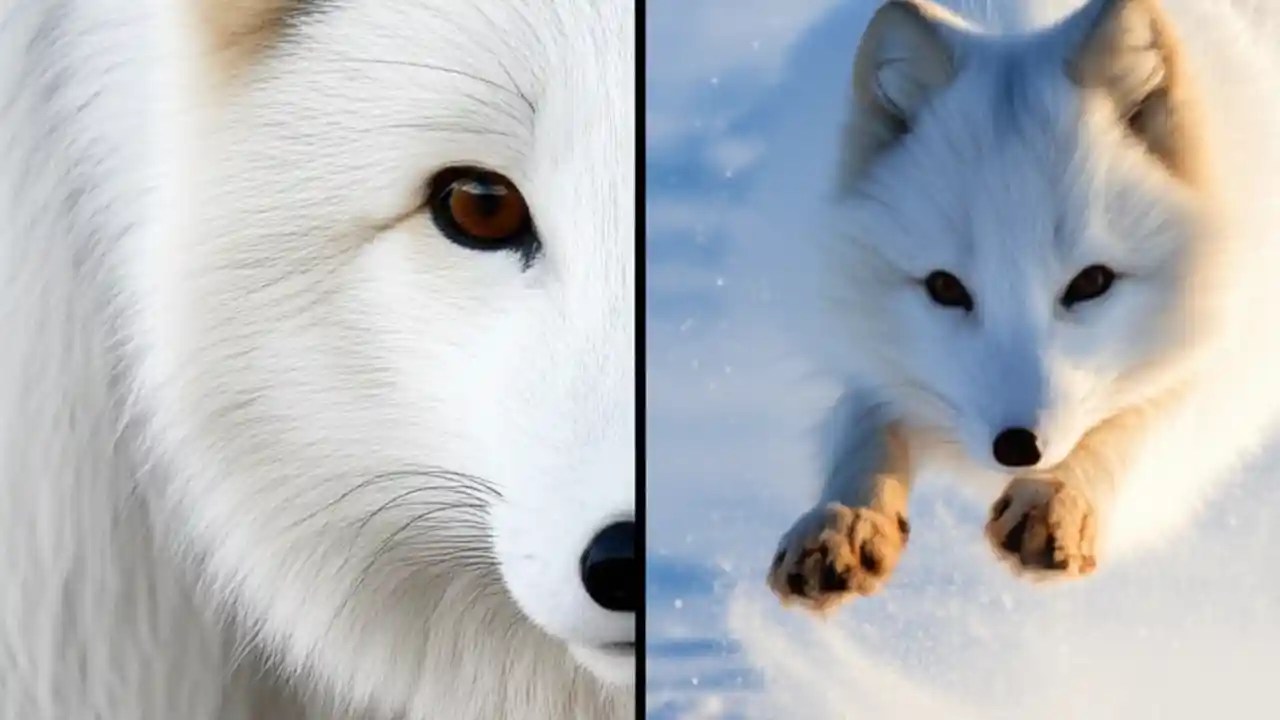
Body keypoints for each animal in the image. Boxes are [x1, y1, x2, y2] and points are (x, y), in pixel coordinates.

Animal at [768, 0, 1280, 612]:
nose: (1016, 448)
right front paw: (842, 520)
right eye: (945, 288)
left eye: (1092, 282)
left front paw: (1058, 498)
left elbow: (1131, 421)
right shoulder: (870, 351)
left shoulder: (1224, 348)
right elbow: (865, 423)